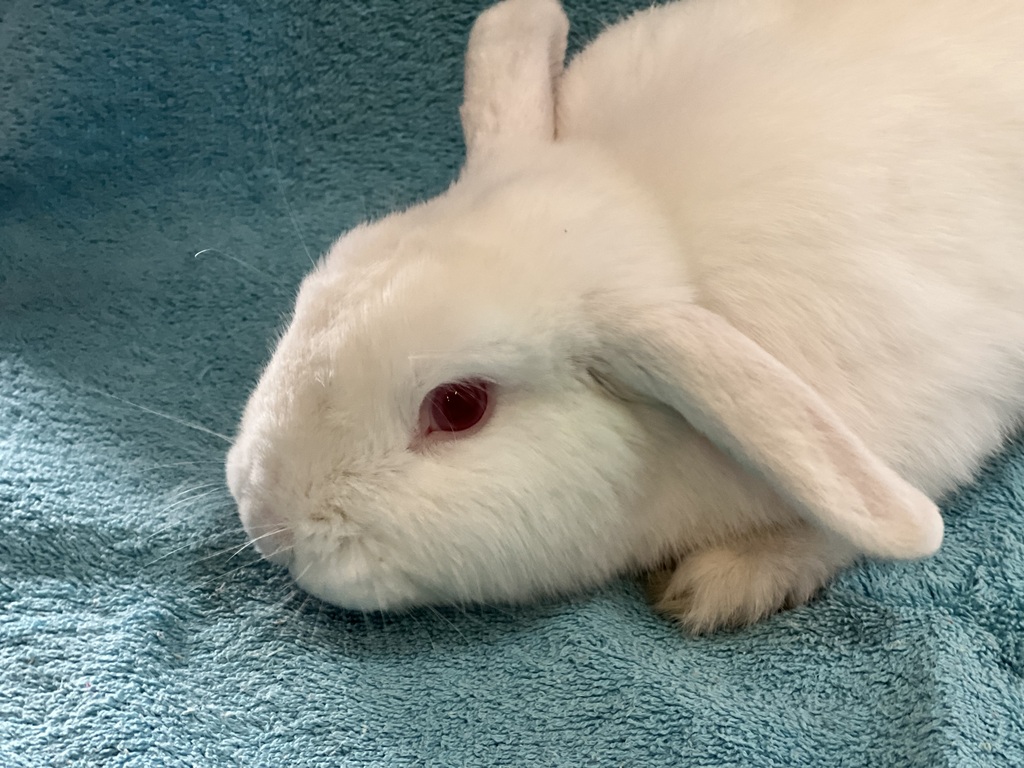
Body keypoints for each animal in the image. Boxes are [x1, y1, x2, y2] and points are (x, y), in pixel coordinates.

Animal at [225, 0, 1024, 633]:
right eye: (313, 296)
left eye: (458, 406)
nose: (269, 524)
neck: (651, 210)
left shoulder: (933, 434)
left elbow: (853, 527)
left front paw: (722, 584)